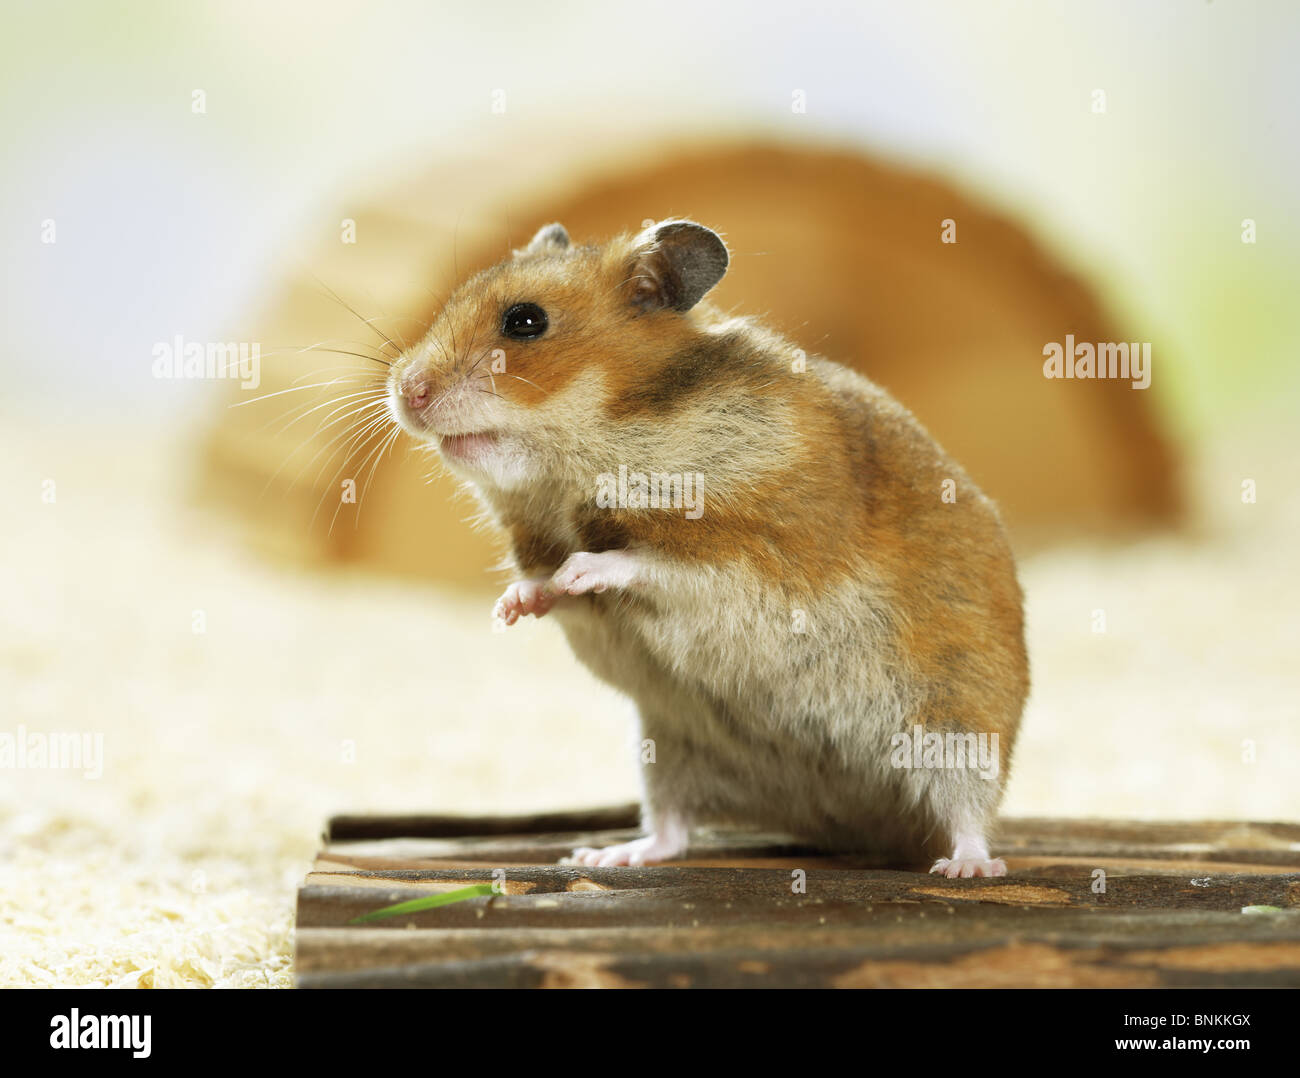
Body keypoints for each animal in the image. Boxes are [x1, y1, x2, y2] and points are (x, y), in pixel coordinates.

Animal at [387, 219, 1029, 877]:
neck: (577, 460)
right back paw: (605, 855)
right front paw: (510, 607)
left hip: (953, 727)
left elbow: (639, 562)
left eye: (525, 321)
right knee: (672, 830)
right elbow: (548, 587)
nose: (405, 392)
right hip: (669, 750)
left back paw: (966, 868)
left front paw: (578, 569)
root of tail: (854, 822)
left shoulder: (749, 557)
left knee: (967, 813)